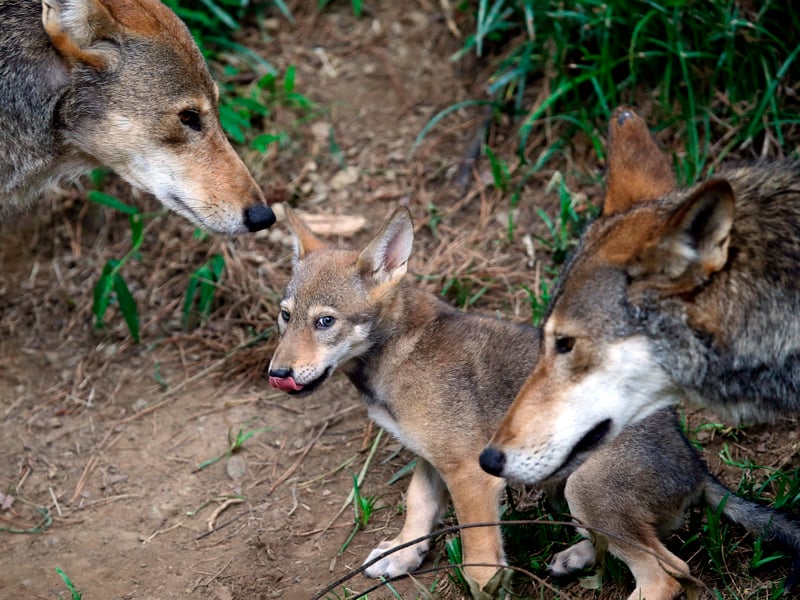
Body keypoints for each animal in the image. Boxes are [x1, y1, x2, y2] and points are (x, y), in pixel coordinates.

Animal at [268, 206, 800, 598]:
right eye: (285, 316)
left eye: (325, 322)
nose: (278, 374)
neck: (396, 351)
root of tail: (694, 462)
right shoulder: (432, 460)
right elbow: (418, 508)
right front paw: (402, 554)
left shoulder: (468, 472)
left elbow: (480, 564)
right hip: (575, 492)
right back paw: (577, 555)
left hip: (585, 489)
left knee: (666, 575)